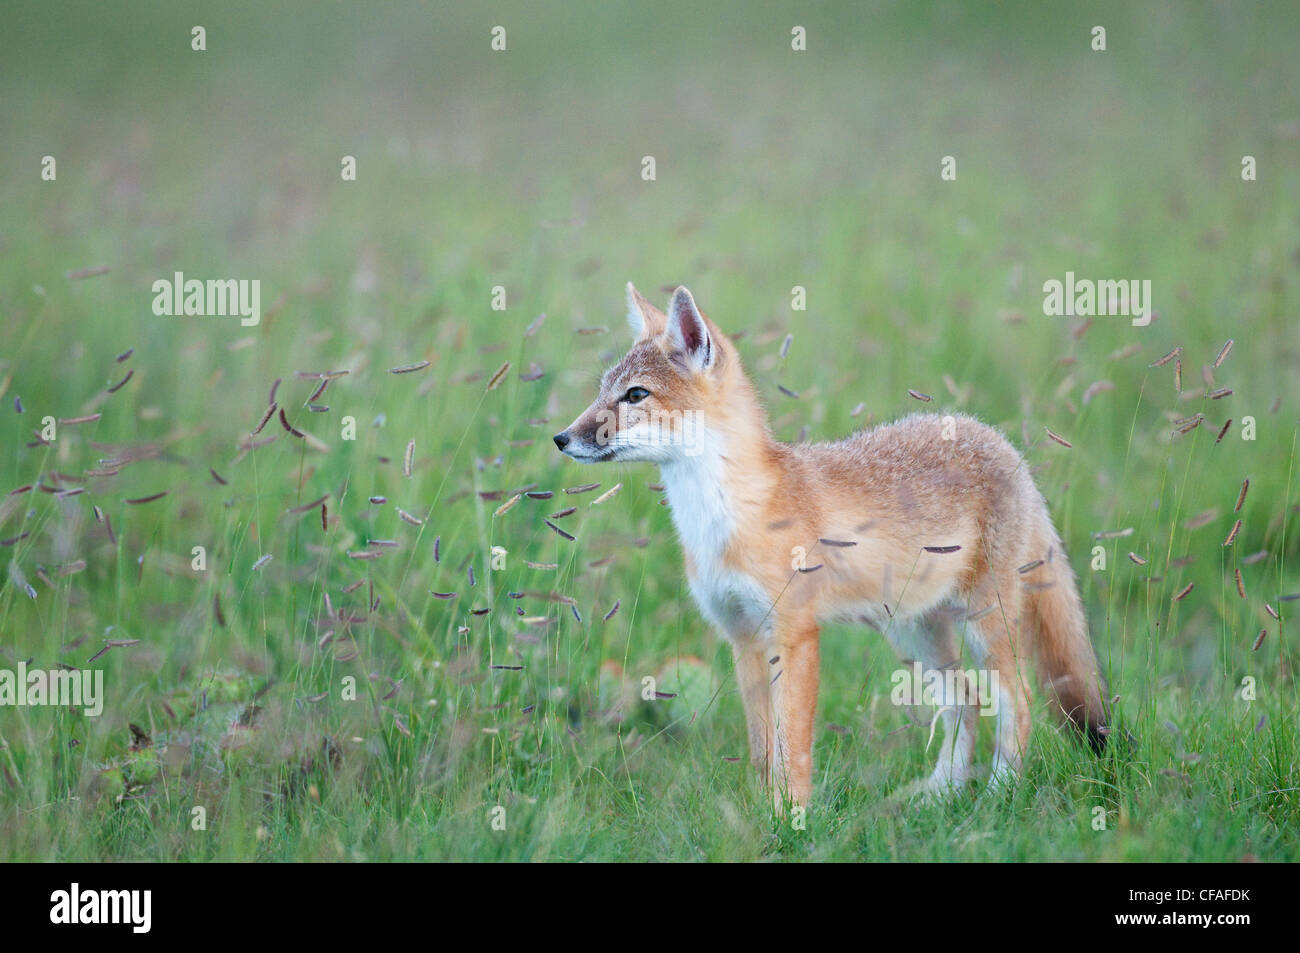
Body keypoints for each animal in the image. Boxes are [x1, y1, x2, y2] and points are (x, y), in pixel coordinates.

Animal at [554, 282, 1110, 808]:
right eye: (603, 391)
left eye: (635, 396)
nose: (561, 438)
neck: (724, 519)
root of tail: (1002, 442)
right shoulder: (743, 638)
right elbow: (762, 750)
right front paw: (761, 815)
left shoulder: (797, 635)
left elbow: (793, 747)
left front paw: (791, 818)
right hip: (913, 633)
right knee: (966, 702)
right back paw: (937, 798)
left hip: (984, 626)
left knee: (1019, 703)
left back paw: (999, 795)